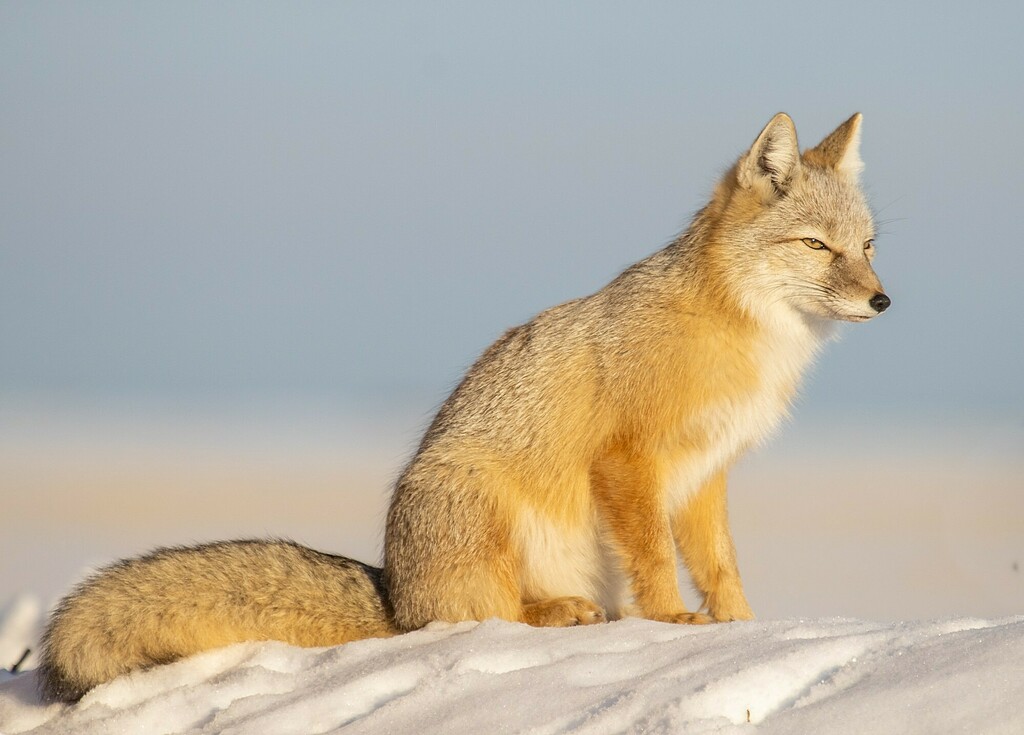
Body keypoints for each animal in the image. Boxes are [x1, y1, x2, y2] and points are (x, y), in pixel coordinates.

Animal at [39, 112, 888, 702]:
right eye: (816, 246)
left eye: (869, 245)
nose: (883, 300)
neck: (744, 338)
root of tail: (395, 592)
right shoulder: (630, 461)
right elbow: (654, 560)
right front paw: (673, 623)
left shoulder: (705, 474)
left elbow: (719, 568)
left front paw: (745, 627)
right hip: (488, 508)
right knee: (492, 615)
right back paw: (563, 613)